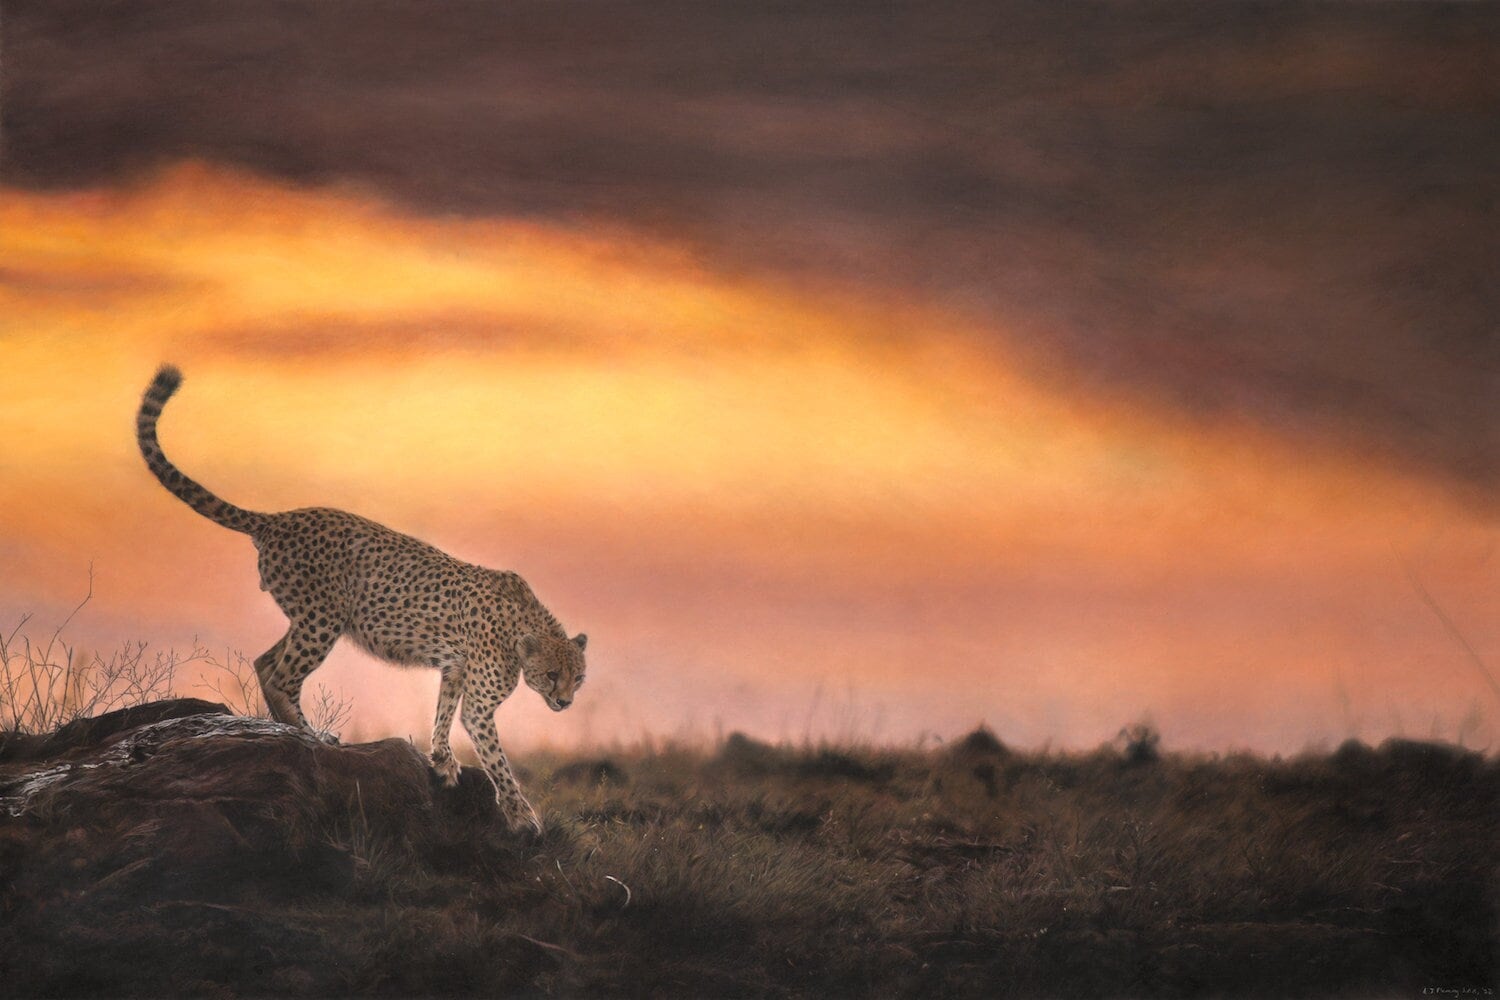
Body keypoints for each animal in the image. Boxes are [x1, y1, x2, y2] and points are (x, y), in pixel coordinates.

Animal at [135, 364, 588, 836]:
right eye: (552, 675)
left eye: (578, 678)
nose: (564, 702)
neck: (526, 624)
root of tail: (280, 518)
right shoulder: (480, 704)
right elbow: (497, 758)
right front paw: (521, 815)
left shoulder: (455, 670)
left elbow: (444, 713)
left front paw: (443, 761)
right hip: (322, 620)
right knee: (282, 675)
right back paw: (312, 737)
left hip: (310, 617)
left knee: (264, 661)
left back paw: (297, 731)